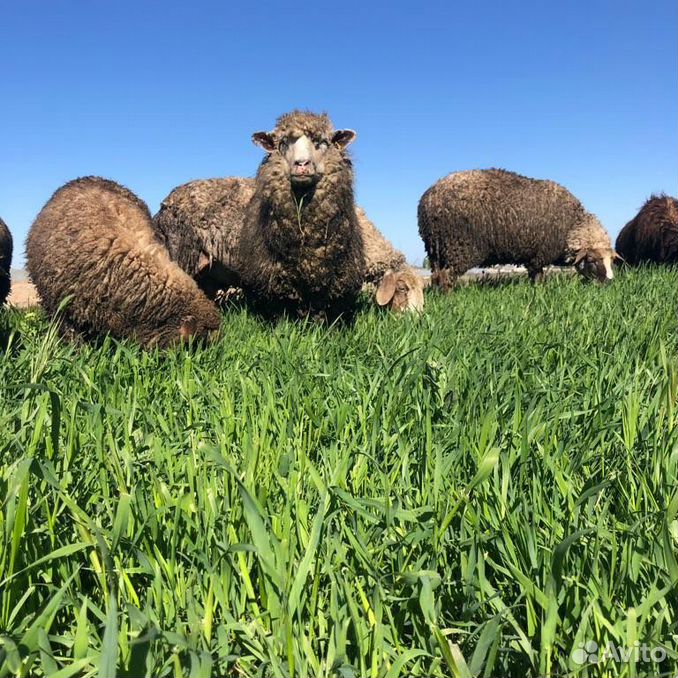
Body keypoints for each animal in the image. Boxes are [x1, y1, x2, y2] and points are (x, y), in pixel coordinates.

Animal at [235, 110, 365, 322]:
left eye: (322, 142)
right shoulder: (276, 281)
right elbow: (281, 311)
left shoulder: (328, 282)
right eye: (283, 143)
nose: (302, 164)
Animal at [418, 168, 616, 289]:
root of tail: (429, 198)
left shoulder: (533, 255)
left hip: (436, 252)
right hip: (459, 247)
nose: (609, 282)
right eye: (592, 260)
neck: (571, 226)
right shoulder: (539, 255)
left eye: (611, 260)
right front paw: (540, 291)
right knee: (445, 277)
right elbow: (538, 277)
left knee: (436, 276)